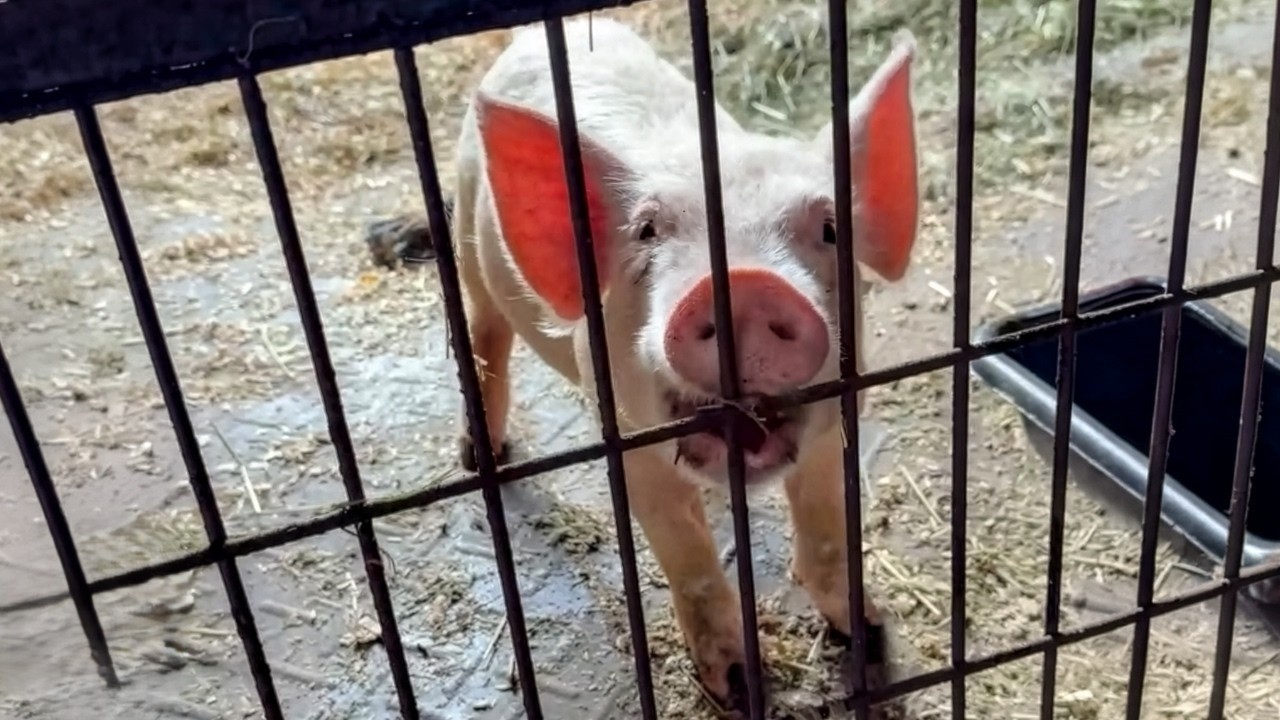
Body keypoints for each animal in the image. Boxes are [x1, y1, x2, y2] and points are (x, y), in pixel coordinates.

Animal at [382, 16, 920, 710]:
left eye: (829, 228)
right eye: (646, 231)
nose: (744, 284)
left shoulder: (835, 421)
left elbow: (828, 533)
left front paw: (871, 636)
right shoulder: (631, 441)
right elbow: (689, 561)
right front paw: (738, 690)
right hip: (470, 244)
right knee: (483, 333)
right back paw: (482, 455)